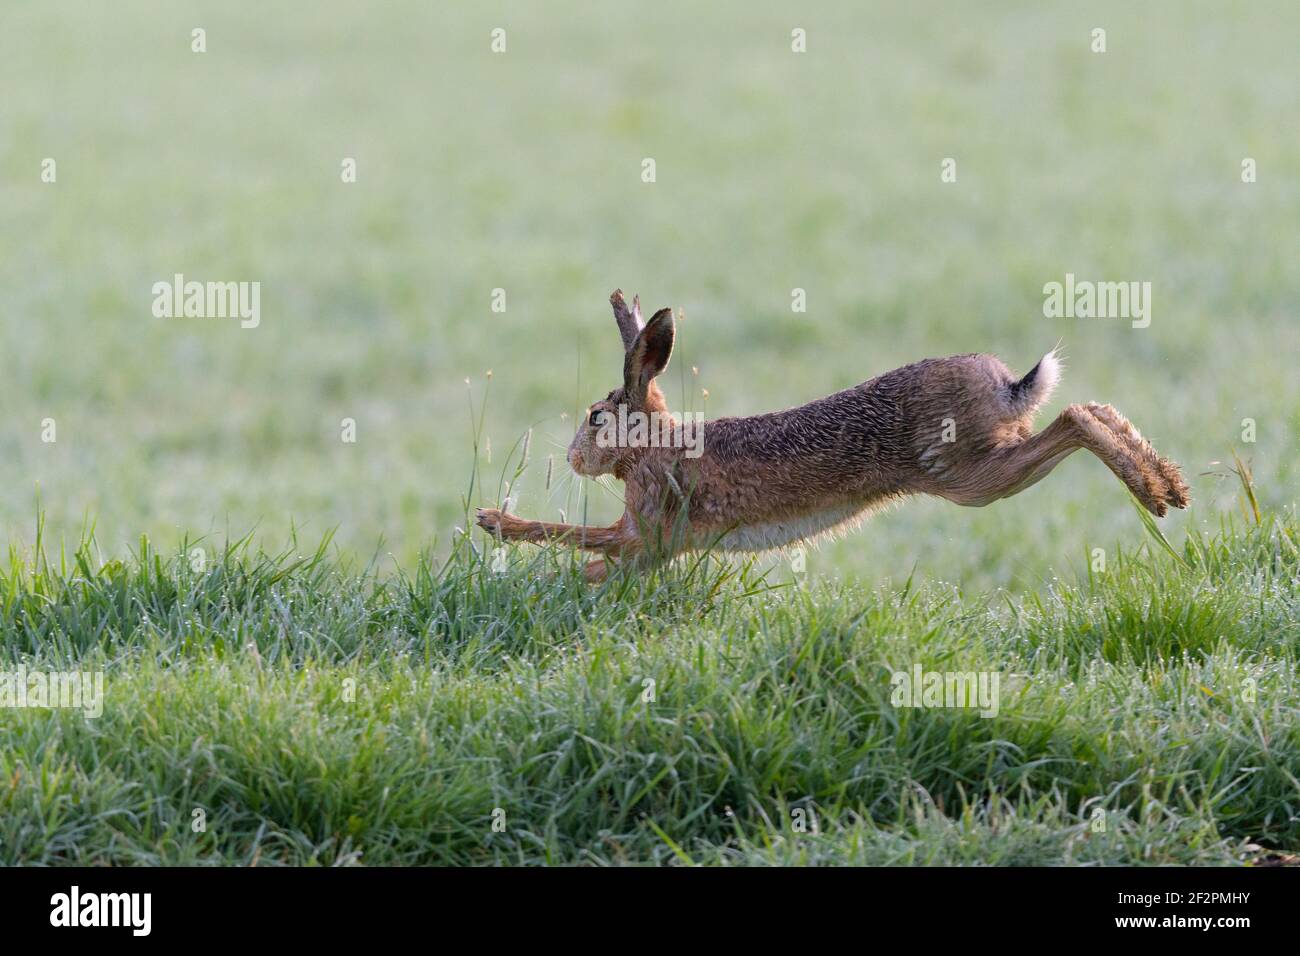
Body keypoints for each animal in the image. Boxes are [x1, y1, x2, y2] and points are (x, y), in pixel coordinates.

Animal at [476, 290, 1189, 582]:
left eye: (598, 417)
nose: (574, 459)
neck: (657, 446)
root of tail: (1007, 384)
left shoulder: (652, 532)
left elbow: (581, 539)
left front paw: (516, 536)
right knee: (1091, 407)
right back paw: (1170, 485)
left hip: (968, 475)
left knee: (1074, 420)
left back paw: (1154, 493)